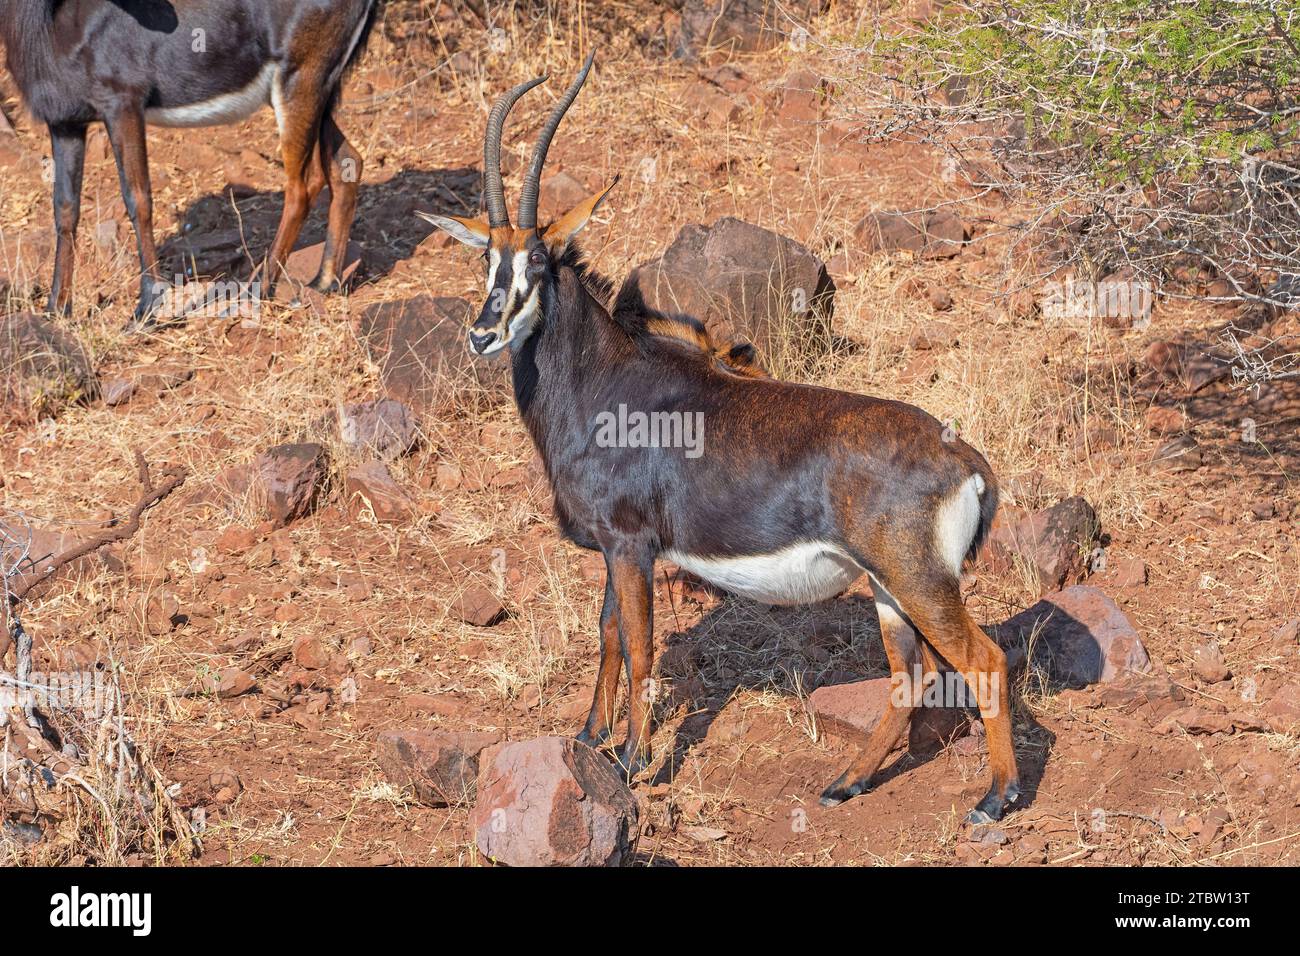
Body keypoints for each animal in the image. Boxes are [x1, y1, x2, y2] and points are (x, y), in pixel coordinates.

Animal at [0, 0, 378, 327]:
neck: (55, 23)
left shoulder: (122, 103)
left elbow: (138, 199)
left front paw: (146, 311)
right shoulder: (65, 124)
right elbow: (65, 209)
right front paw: (56, 309)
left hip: (301, 79)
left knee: (303, 184)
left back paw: (253, 292)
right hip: (316, 91)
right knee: (347, 162)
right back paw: (323, 282)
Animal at [419, 55, 1020, 824]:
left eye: (538, 264)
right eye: (487, 264)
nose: (483, 334)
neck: (606, 380)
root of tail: (963, 458)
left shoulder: (630, 544)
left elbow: (639, 646)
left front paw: (632, 759)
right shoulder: (618, 549)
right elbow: (608, 636)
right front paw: (589, 738)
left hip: (917, 579)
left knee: (984, 661)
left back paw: (995, 799)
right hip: (889, 588)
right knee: (909, 678)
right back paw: (845, 783)